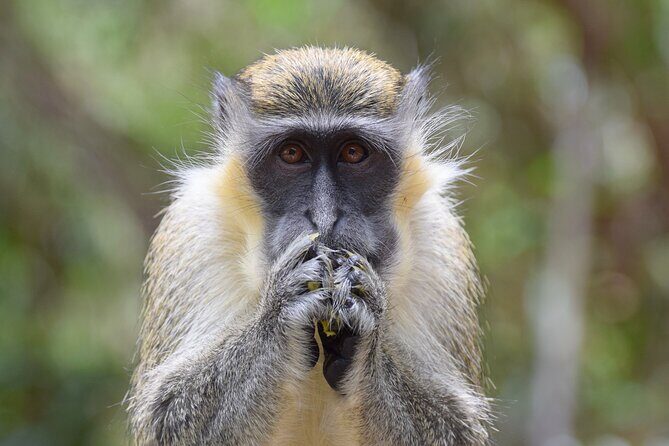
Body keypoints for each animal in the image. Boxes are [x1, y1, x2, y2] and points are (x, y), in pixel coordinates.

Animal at [126, 46, 490, 445]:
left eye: (353, 152)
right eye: (291, 153)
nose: (324, 217)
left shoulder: (441, 245)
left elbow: (456, 426)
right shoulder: (192, 233)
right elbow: (167, 415)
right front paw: (280, 311)